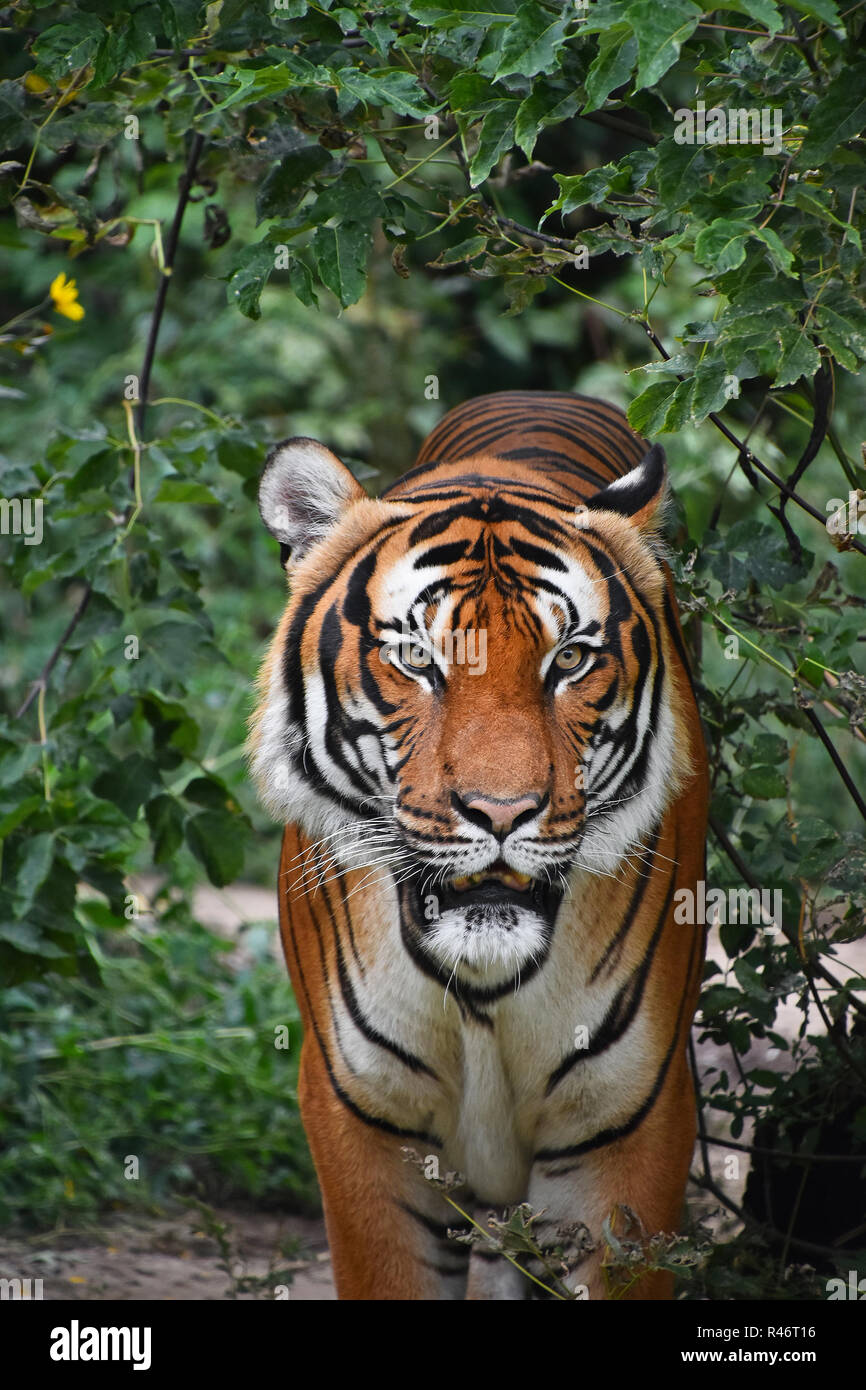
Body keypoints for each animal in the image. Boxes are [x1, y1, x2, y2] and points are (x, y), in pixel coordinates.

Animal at [249, 390, 709, 1301]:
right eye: (415, 657)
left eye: (570, 659)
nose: (502, 812)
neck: (485, 993)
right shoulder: (363, 1121)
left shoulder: (630, 1123)